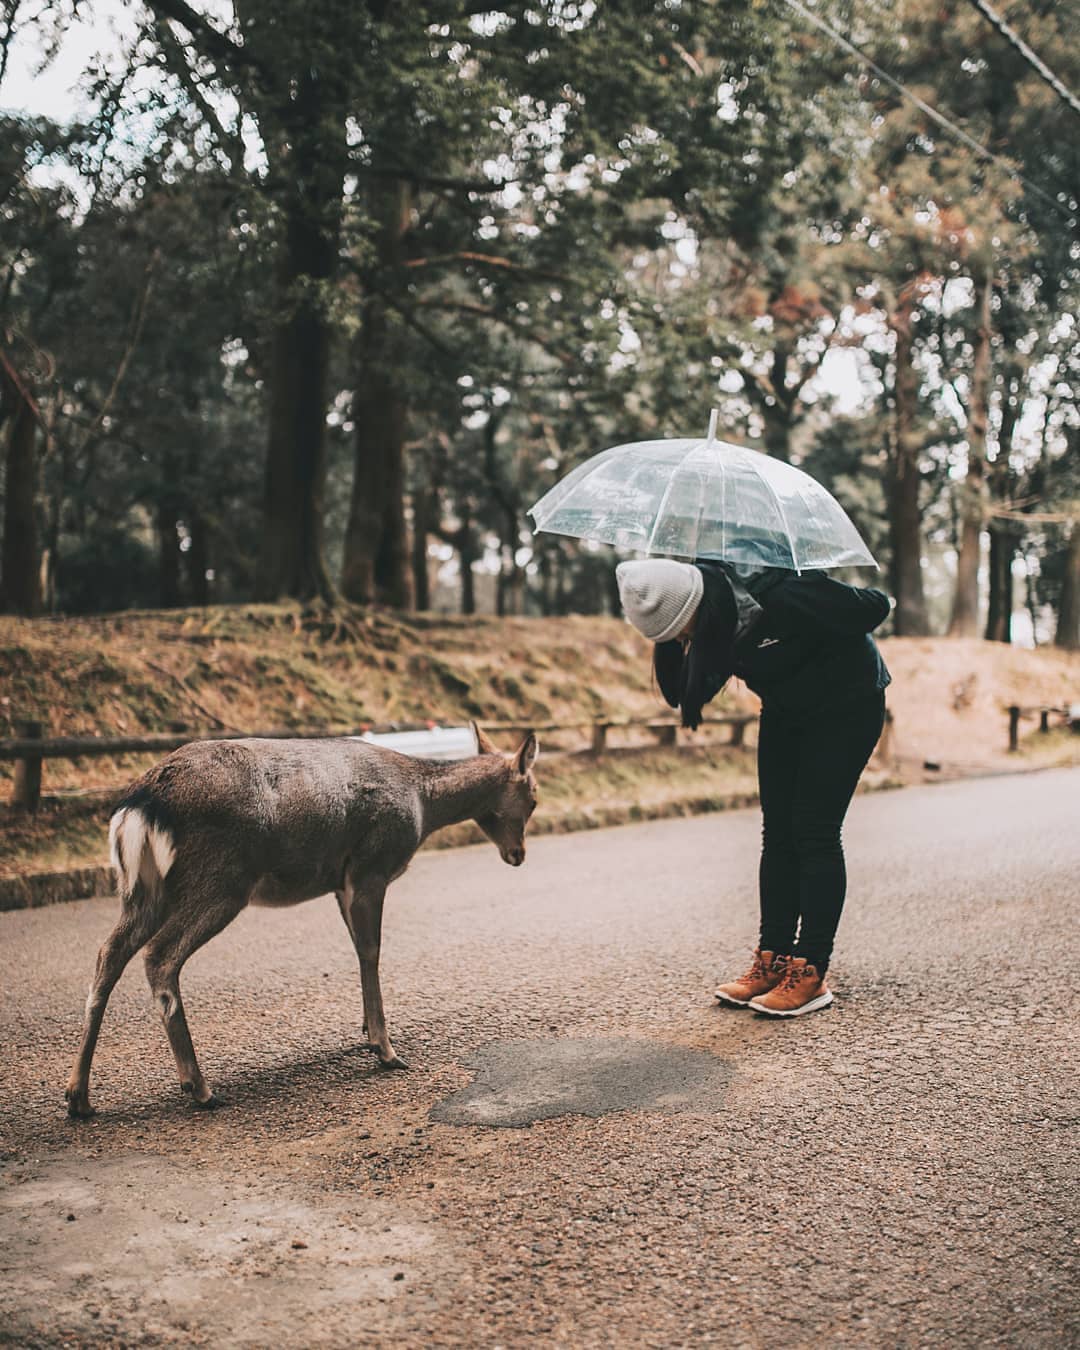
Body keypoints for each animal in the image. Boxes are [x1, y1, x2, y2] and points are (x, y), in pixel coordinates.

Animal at [65, 723, 539, 1118]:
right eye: (533, 798)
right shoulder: (370, 868)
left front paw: (367, 1031)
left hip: (142, 890)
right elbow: (372, 950)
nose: (518, 855)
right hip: (221, 880)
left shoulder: (339, 882)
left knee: (108, 954)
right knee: (160, 957)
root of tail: (140, 803)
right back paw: (198, 1087)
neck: (421, 801)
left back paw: (79, 1097)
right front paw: (386, 1049)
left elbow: (358, 949)